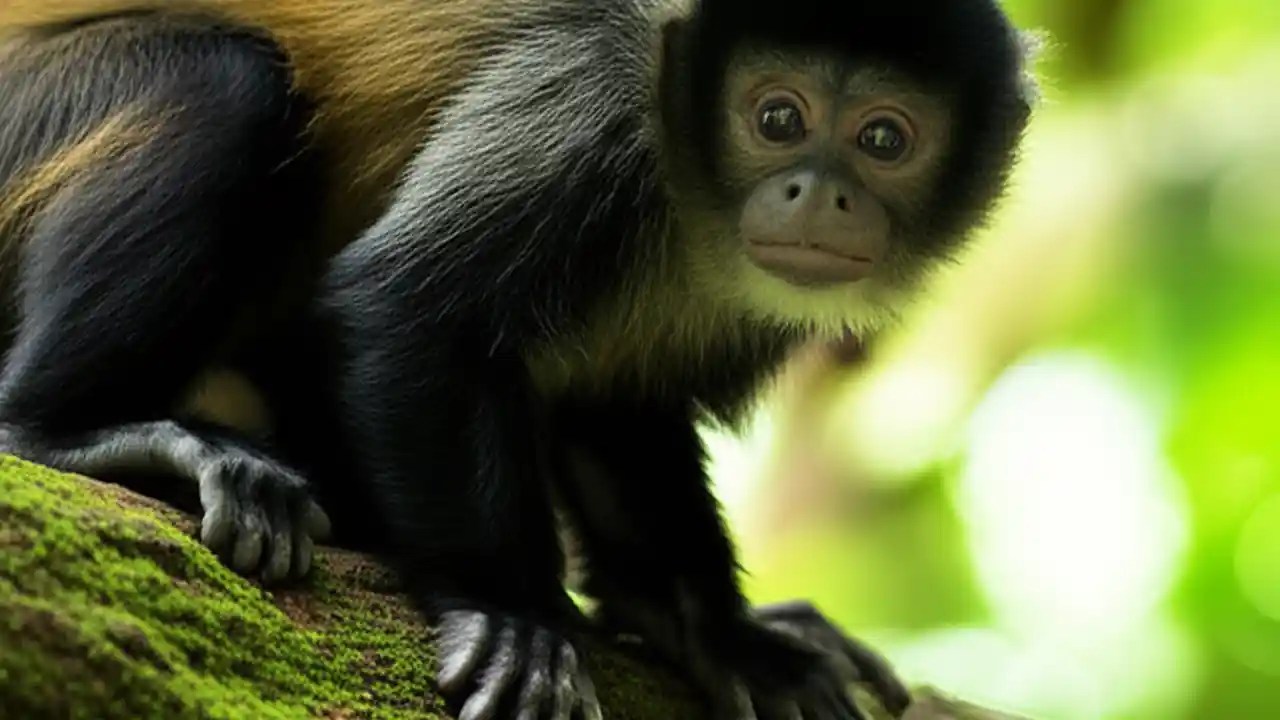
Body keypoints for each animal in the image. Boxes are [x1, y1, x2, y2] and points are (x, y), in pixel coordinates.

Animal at [0, 1, 1039, 719]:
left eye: (883, 138)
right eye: (778, 118)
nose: (818, 195)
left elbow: (619, 415)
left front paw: (725, 633)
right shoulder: (588, 100)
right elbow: (408, 305)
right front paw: (512, 616)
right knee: (223, 81)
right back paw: (75, 431)